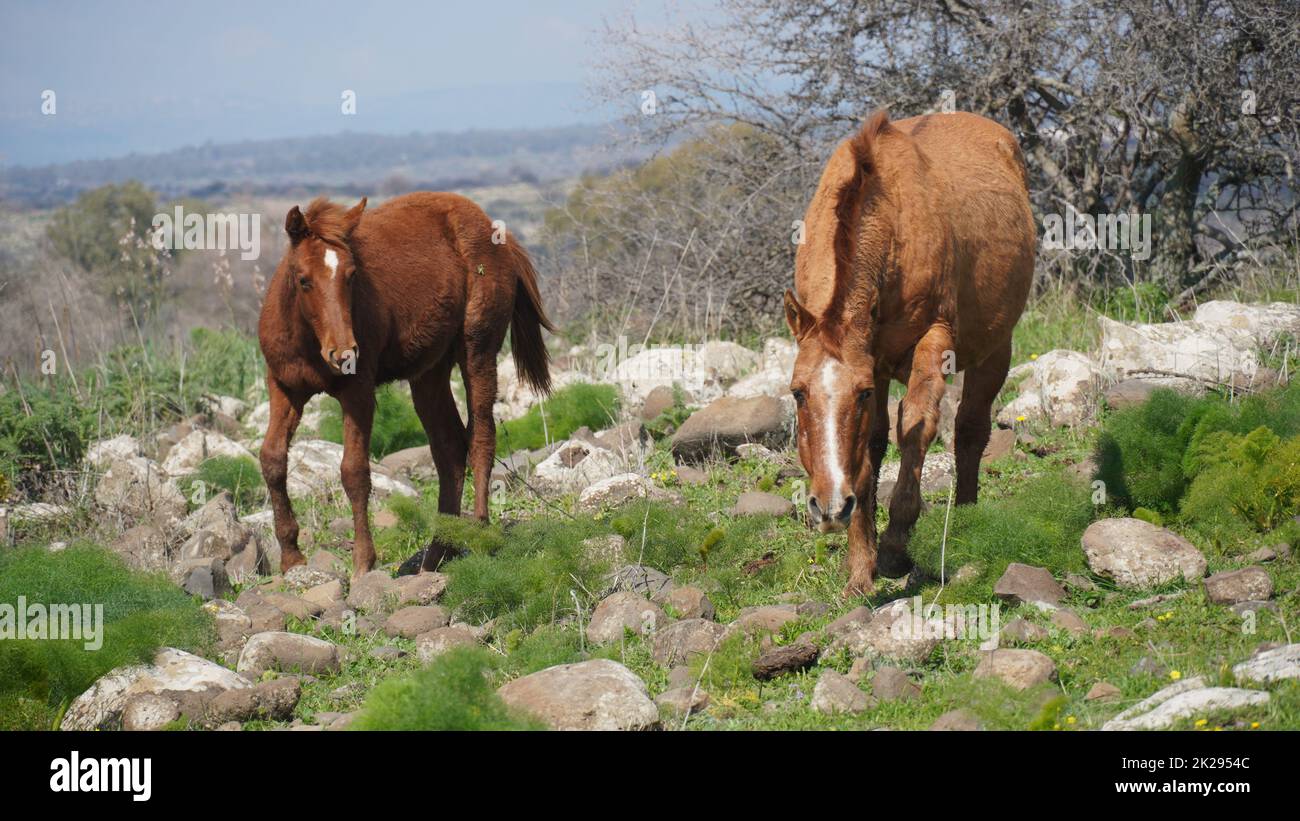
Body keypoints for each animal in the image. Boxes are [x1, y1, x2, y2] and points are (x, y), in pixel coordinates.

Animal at [257, 192, 553, 579]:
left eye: (352, 276)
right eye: (304, 280)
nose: (344, 353)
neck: (308, 341)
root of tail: (499, 233)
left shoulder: (358, 393)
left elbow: (354, 471)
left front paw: (363, 562)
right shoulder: (283, 388)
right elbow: (272, 460)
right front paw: (292, 557)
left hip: (478, 350)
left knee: (481, 437)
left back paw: (479, 532)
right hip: (429, 372)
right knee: (449, 448)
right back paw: (438, 552)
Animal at [784, 110, 1035, 598]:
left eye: (859, 394)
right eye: (798, 393)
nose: (829, 506)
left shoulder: (932, 342)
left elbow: (917, 426)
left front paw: (895, 549)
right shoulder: (875, 361)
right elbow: (872, 448)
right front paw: (861, 567)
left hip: (995, 350)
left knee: (970, 430)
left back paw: (966, 519)